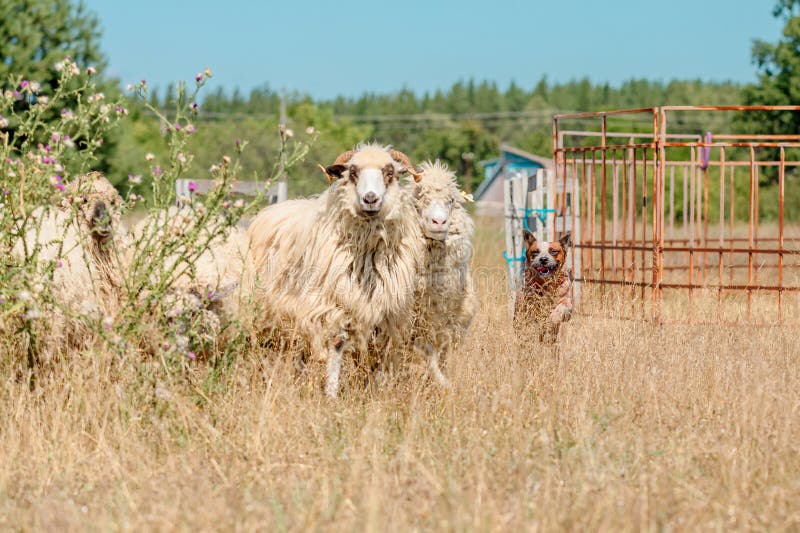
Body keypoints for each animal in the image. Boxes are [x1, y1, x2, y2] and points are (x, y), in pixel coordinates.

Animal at [242, 143, 426, 397]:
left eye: (389, 172)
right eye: (353, 172)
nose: (370, 199)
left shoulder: (384, 312)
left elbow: (375, 357)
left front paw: (373, 392)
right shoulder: (331, 305)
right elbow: (336, 346)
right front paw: (331, 394)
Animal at [405, 160, 477, 386]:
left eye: (451, 200)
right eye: (419, 199)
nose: (439, 222)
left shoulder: (448, 324)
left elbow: (439, 356)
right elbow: (429, 356)